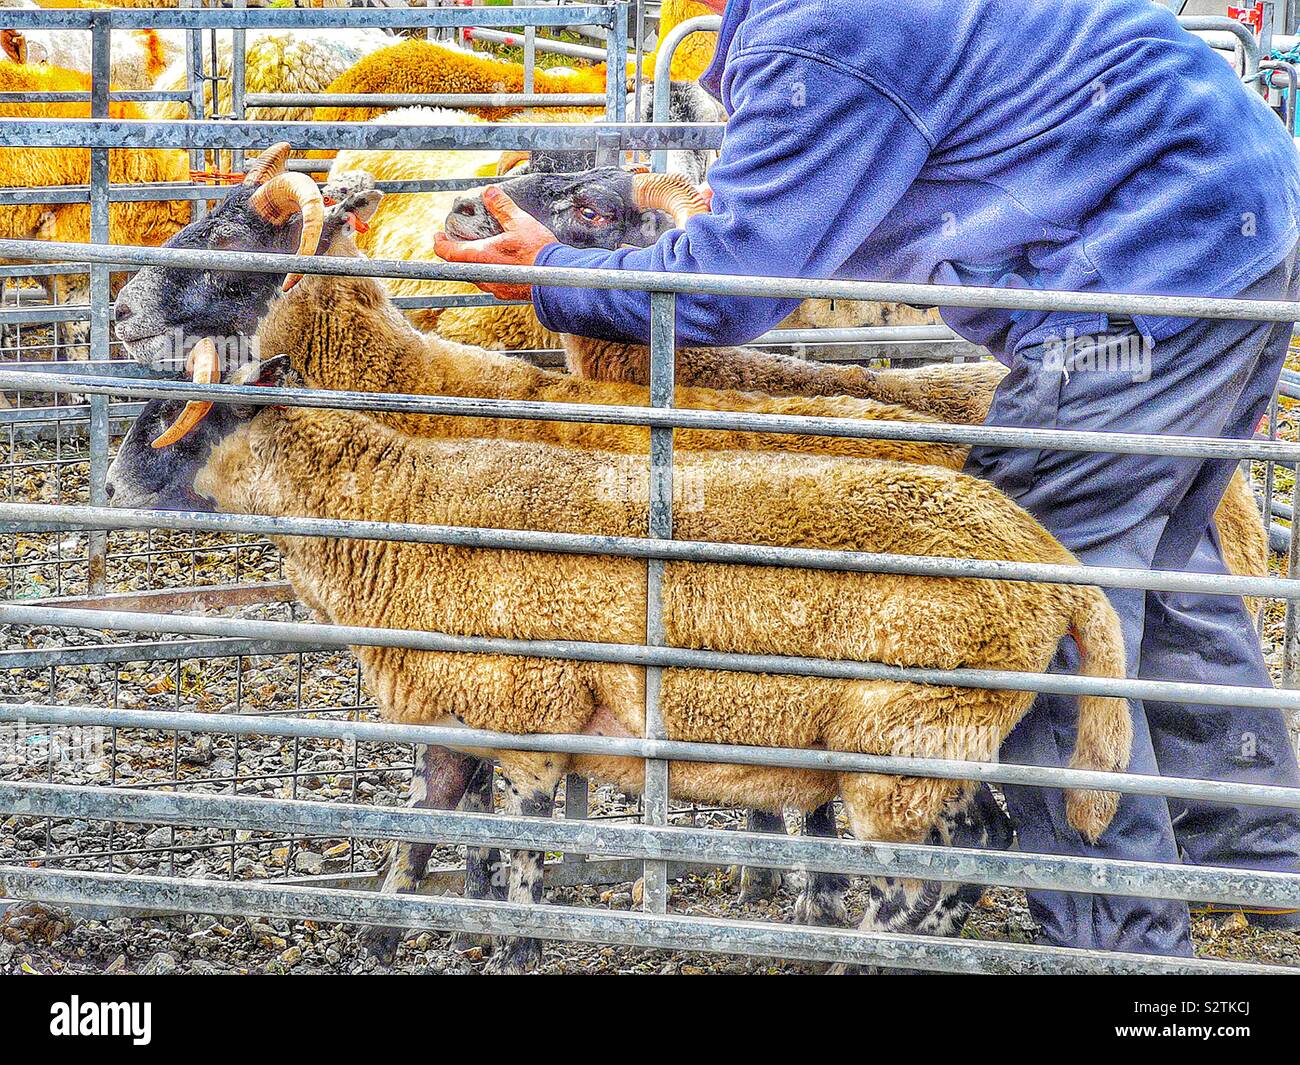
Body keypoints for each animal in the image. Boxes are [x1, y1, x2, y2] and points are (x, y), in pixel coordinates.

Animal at [107, 345, 1130, 973]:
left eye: (170, 414)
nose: (110, 484)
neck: (398, 511)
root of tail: (1050, 562)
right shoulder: (451, 725)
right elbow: (412, 854)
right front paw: (378, 947)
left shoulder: (527, 723)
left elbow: (519, 882)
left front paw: (509, 948)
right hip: (939, 742)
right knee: (986, 847)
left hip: (901, 747)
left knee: (945, 865)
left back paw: (862, 949)